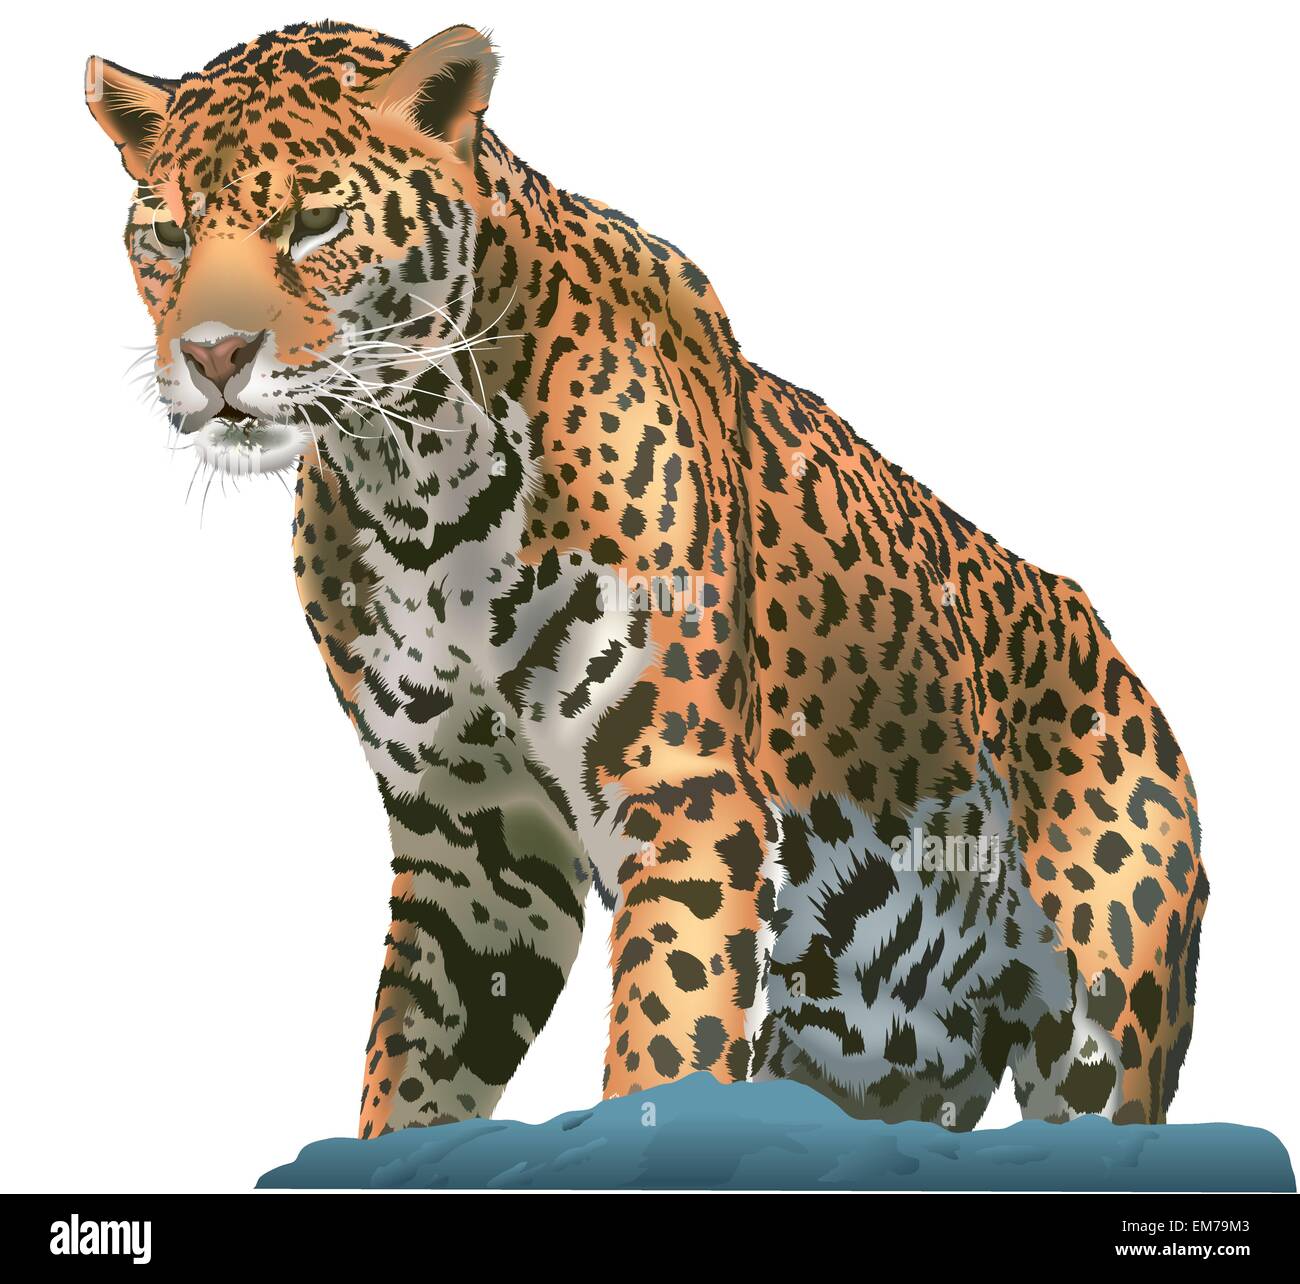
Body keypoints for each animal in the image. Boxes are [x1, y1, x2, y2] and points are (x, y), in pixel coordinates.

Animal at [86, 21, 1208, 1137]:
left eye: (314, 223)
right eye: (169, 239)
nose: (214, 355)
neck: (416, 484)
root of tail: (1108, 651)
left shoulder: (685, 798)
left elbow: (666, 1048)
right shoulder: (473, 848)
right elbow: (412, 1073)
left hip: (1106, 1018)